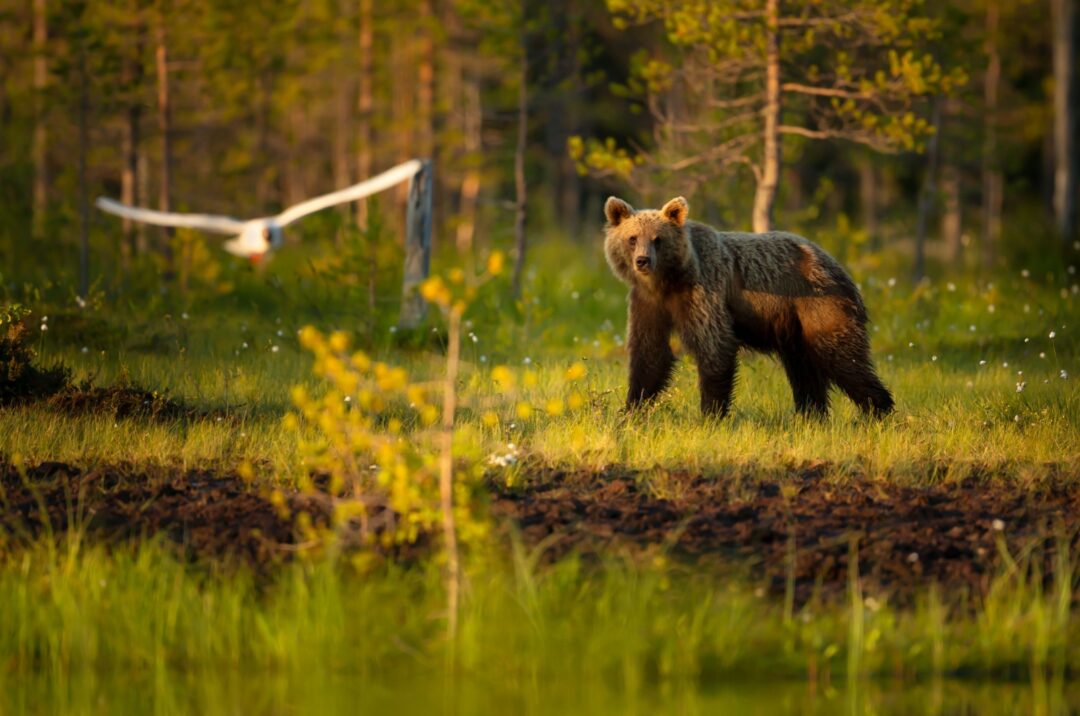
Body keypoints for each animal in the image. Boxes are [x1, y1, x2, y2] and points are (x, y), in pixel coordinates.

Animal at [603, 195, 894, 419]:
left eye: (658, 239)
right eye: (632, 238)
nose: (642, 261)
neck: (667, 282)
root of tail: (838, 266)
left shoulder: (703, 294)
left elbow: (715, 347)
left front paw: (711, 414)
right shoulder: (648, 304)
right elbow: (650, 354)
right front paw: (630, 410)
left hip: (820, 304)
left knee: (843, 359)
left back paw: (879, 411)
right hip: (794, 328)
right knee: (804, 369)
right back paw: (810, 415)